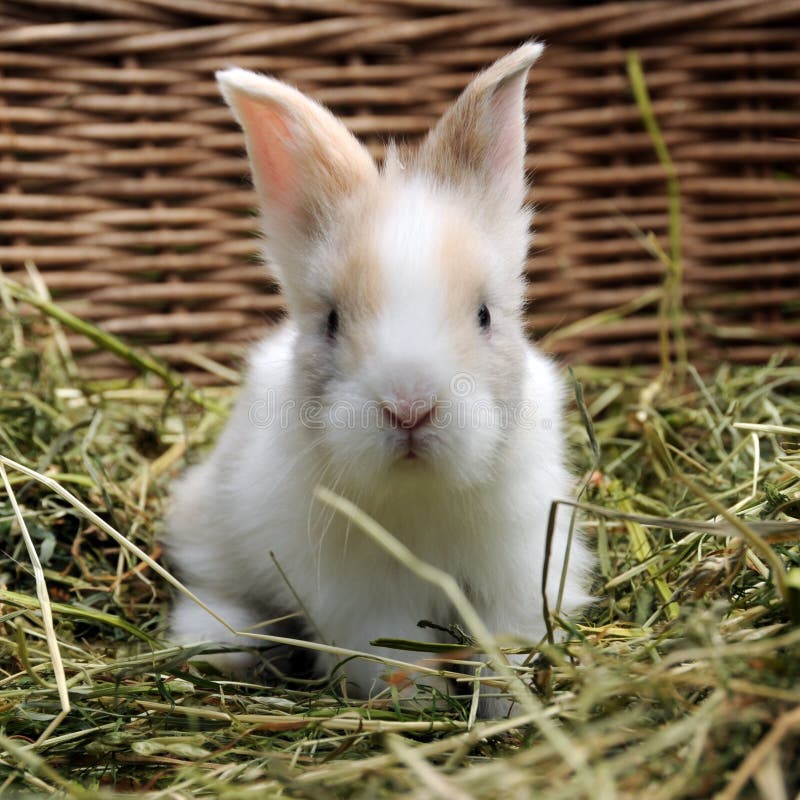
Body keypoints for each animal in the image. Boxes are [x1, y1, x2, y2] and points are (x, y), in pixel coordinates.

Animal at [165, 42, 594, 717]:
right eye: (332, 321)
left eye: (485, 315)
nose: (410, 409)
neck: (417, 494)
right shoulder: (367, 600)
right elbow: (396, 661)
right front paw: (417, 707)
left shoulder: (520, 568)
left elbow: (510, 645)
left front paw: (514, 708)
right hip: (211, 528)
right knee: (215, 586)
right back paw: (215, 647)